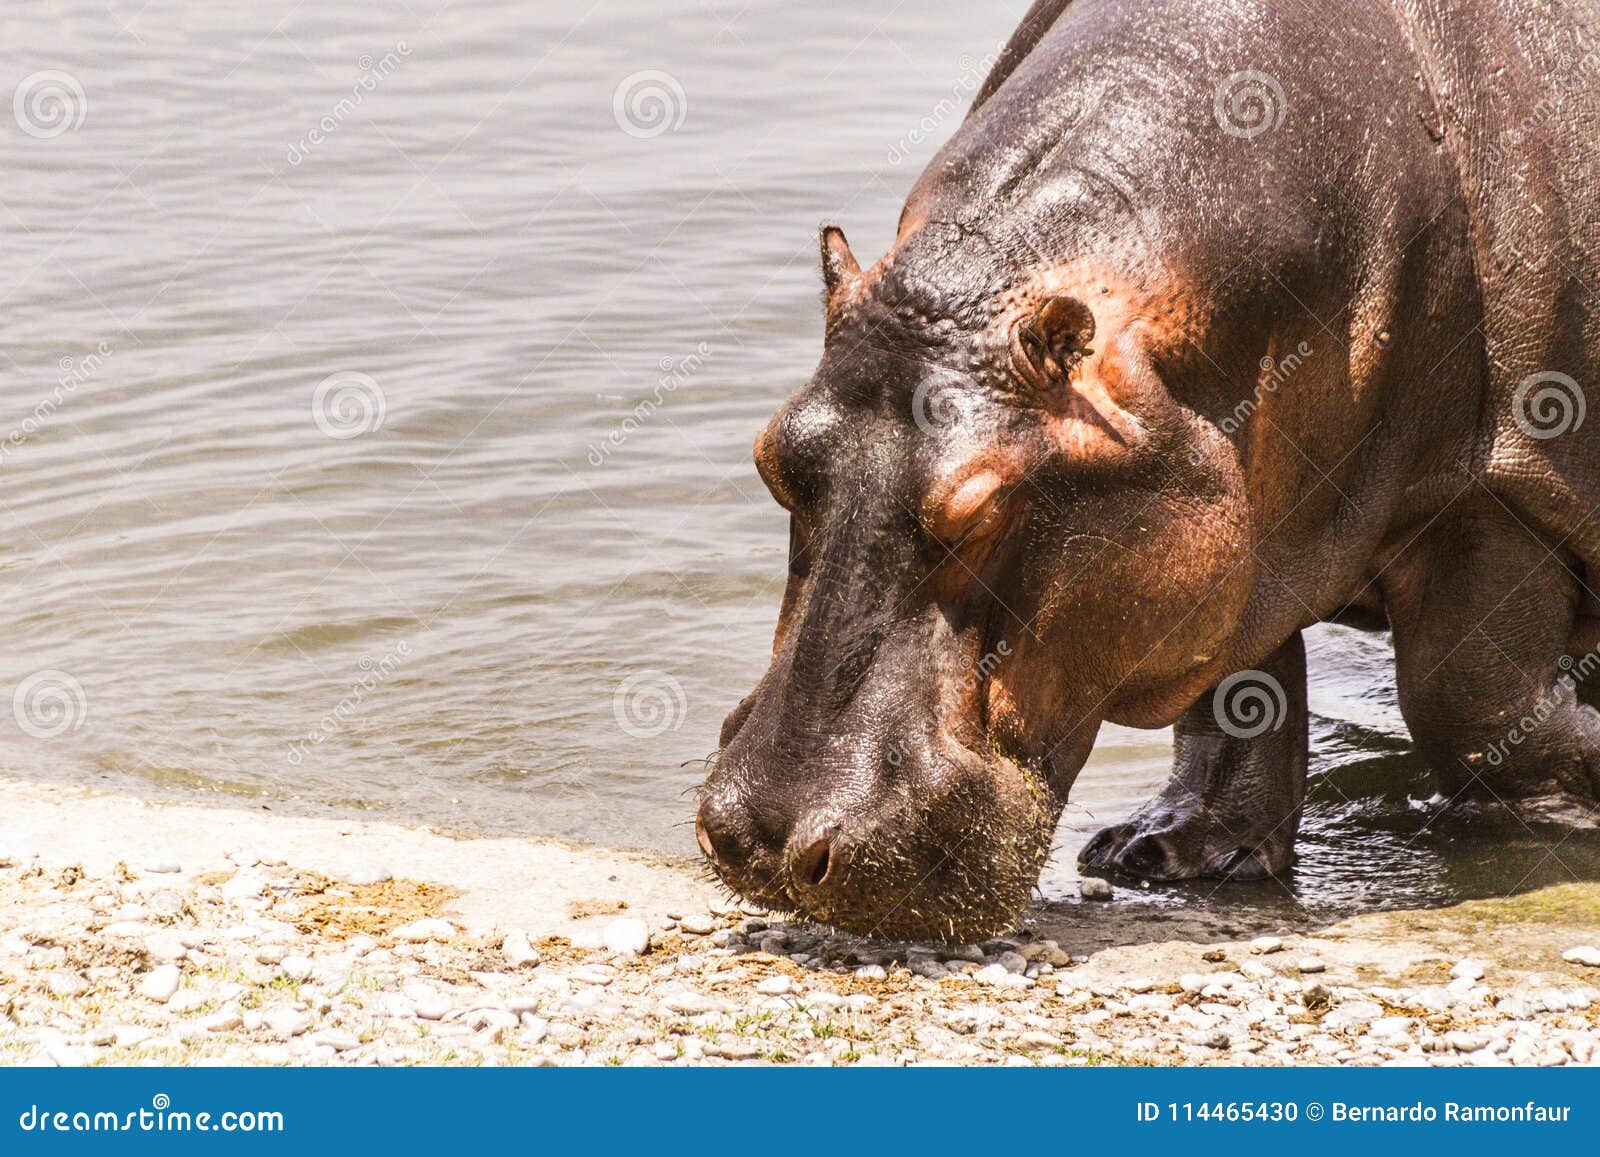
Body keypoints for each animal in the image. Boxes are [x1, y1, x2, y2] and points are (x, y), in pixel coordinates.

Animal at [696, 0, 1600, 942]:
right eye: (771, 457)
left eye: (982, 512)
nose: (765, 842)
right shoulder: (1240, 510)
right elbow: (1242, 691)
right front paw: (1165, 853)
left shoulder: (1486, 496)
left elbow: (1466, 702)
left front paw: (1584, 791)